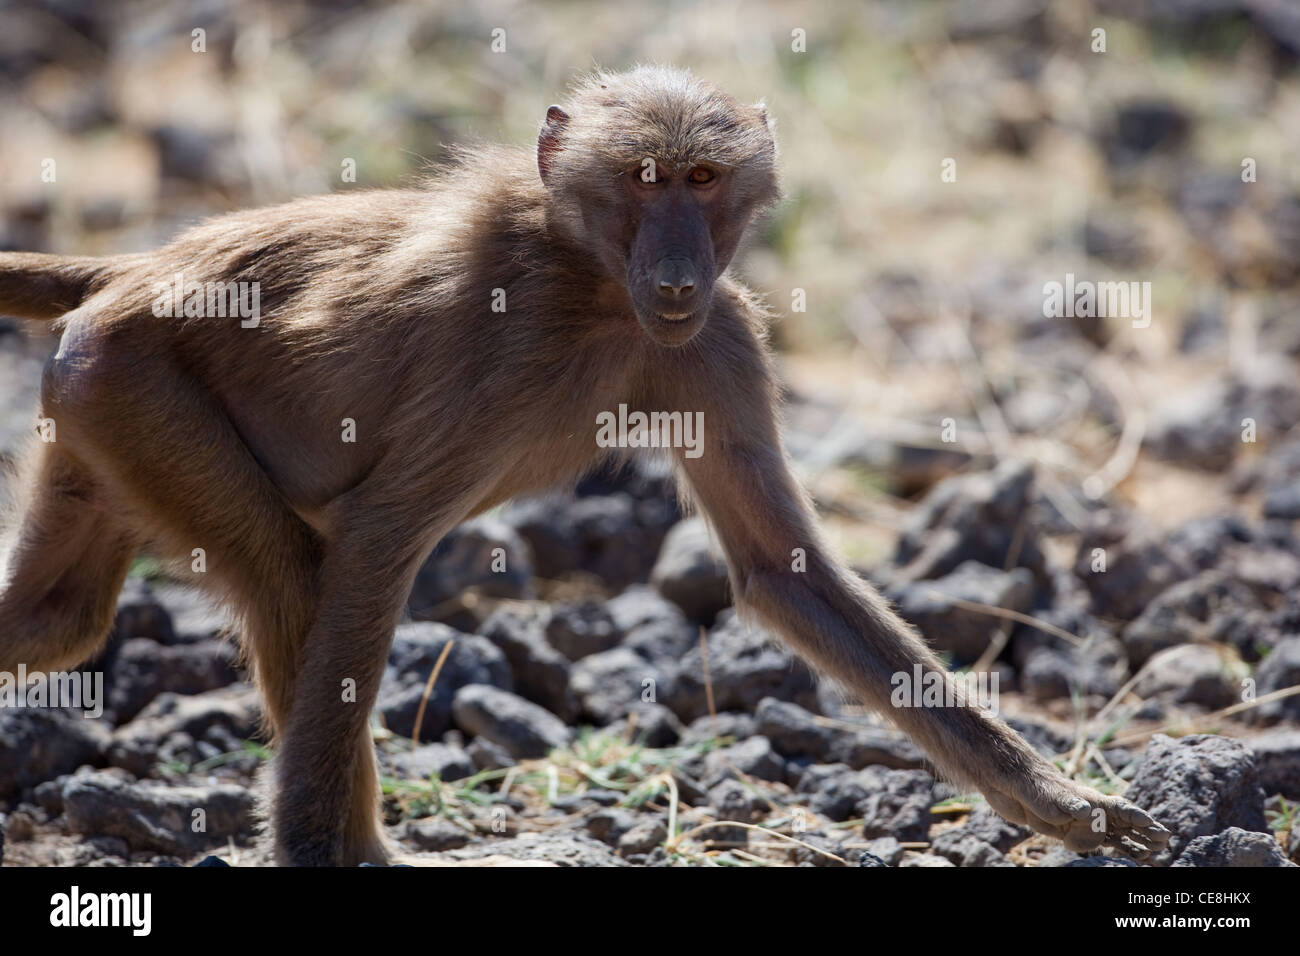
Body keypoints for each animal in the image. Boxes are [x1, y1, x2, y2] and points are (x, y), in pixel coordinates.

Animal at [0, 66, 1168, 866]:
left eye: (701, 178)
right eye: (643, 180)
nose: (678, 270)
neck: (598, 287)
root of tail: (134, 271)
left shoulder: (718, 339)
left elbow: (782, 571)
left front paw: (1061, 803)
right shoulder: (500, 342)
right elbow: (379, 535)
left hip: (102, 414)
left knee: (60, 620)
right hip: (136, 385)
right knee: (291, 581)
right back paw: (361, 850)